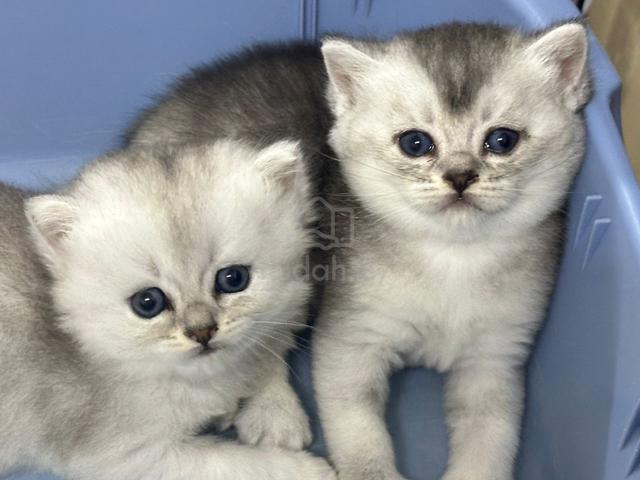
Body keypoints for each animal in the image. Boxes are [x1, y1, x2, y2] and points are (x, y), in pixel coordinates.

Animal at [0, 140, 335, 480]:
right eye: (148, 303)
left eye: (233, 279)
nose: (202, 331)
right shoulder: (127, 456)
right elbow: (233, 463)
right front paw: (304, 468)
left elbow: (268, 345)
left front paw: (272, 410)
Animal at [313, 21, 591, 480]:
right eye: (415, 143)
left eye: (502, 140)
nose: (460, 176)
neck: (455, 258)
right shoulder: (351, 340)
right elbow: (357, 428)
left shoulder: (493, 360)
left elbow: (488, 442)